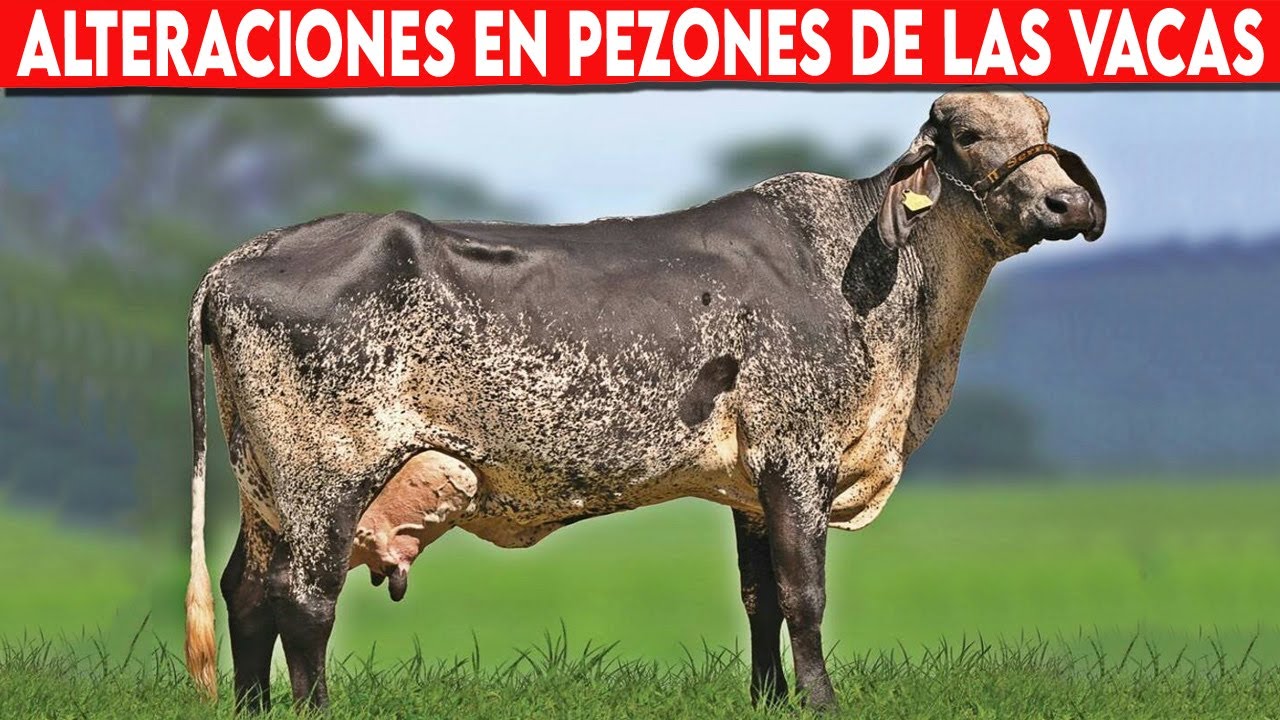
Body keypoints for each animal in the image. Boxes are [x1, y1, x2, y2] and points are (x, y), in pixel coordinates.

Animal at [183, 90, 1104, 712]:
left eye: (1045, 127)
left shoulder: (750, 484)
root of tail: (231, 263)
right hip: (326, 480)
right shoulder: (797, 461)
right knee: (302, 600)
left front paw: (770, 700)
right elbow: (804, 595)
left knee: (245, 594)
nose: (1063, 200)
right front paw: (819, 703)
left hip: (264, 488)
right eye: (970, 134)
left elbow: (760, 597)